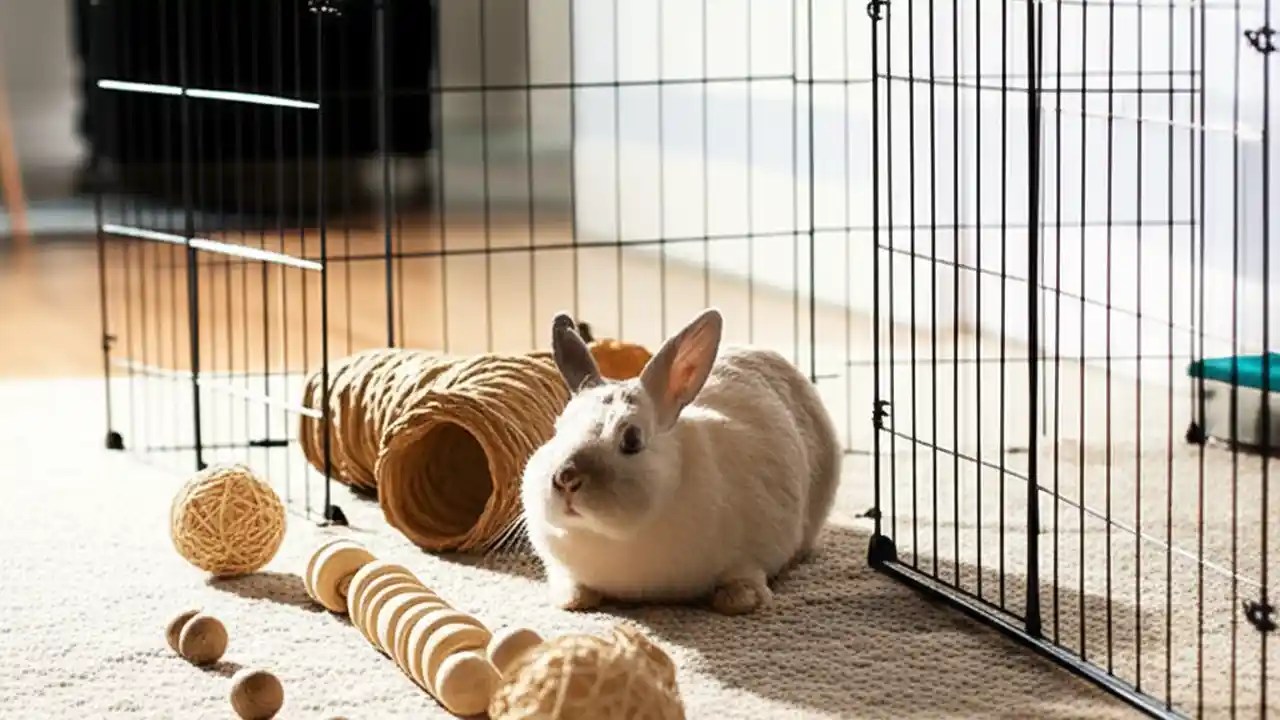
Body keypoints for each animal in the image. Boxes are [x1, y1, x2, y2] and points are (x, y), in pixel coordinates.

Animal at [519, 307, 842, 616]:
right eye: (557, 430)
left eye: (632, 439)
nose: (566, 478)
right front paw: (571, 599)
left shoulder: (755, 551)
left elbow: (746, 574)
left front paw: (740, 600)